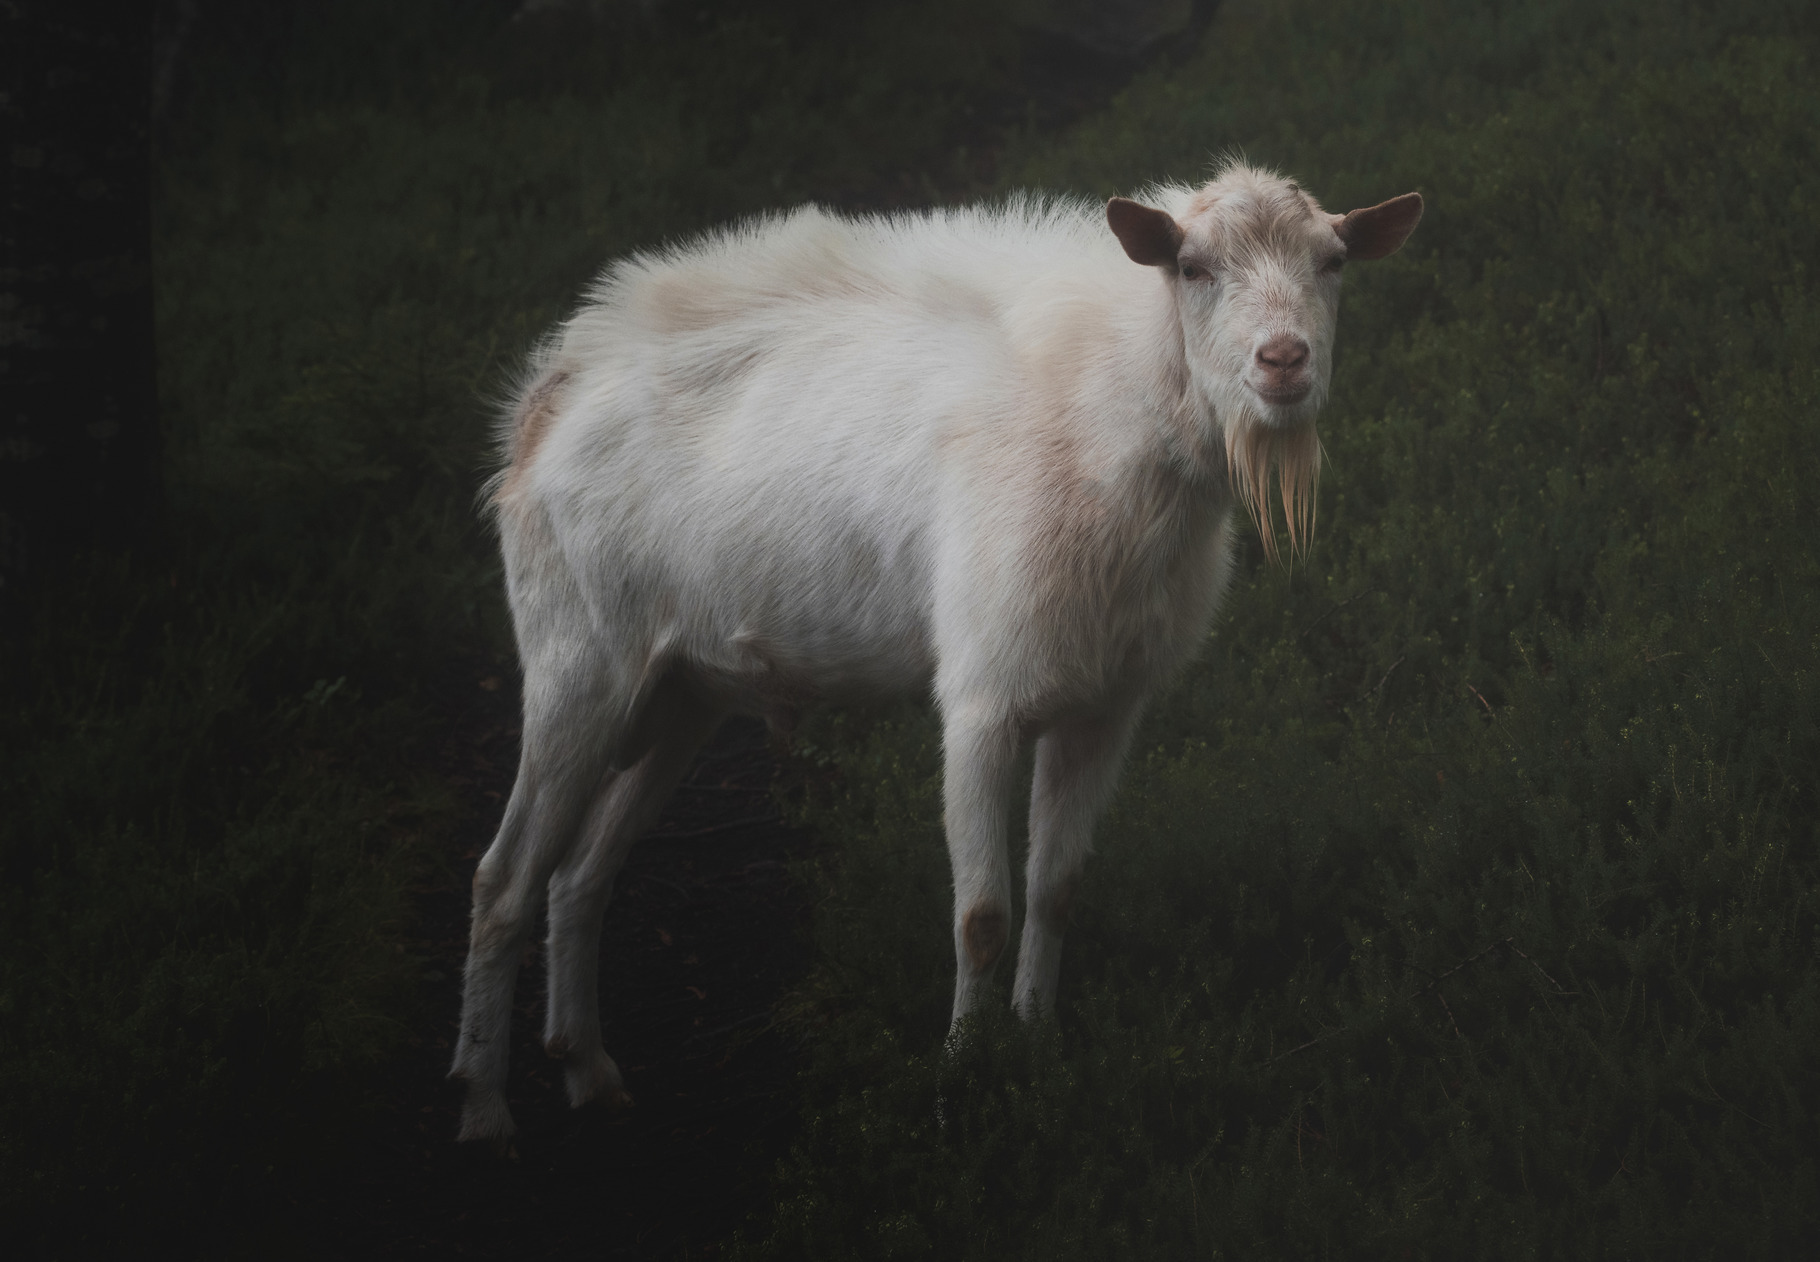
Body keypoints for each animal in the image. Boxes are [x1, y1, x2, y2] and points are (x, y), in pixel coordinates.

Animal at [451, 160, 1422, 1143]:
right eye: (1191, 267)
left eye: (1334, 261)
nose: (1284, 362)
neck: (1110, 416)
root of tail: (547, 399)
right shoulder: (982, 700)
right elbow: (982, 916)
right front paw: (961, 1079)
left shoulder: (1105, 707)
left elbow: (1057, 889)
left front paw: (1037, 1049)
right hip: (578, 663)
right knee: (504, 878)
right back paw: (484, 1104)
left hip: (680, 690)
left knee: (581, 876)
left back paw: (588, 1069)